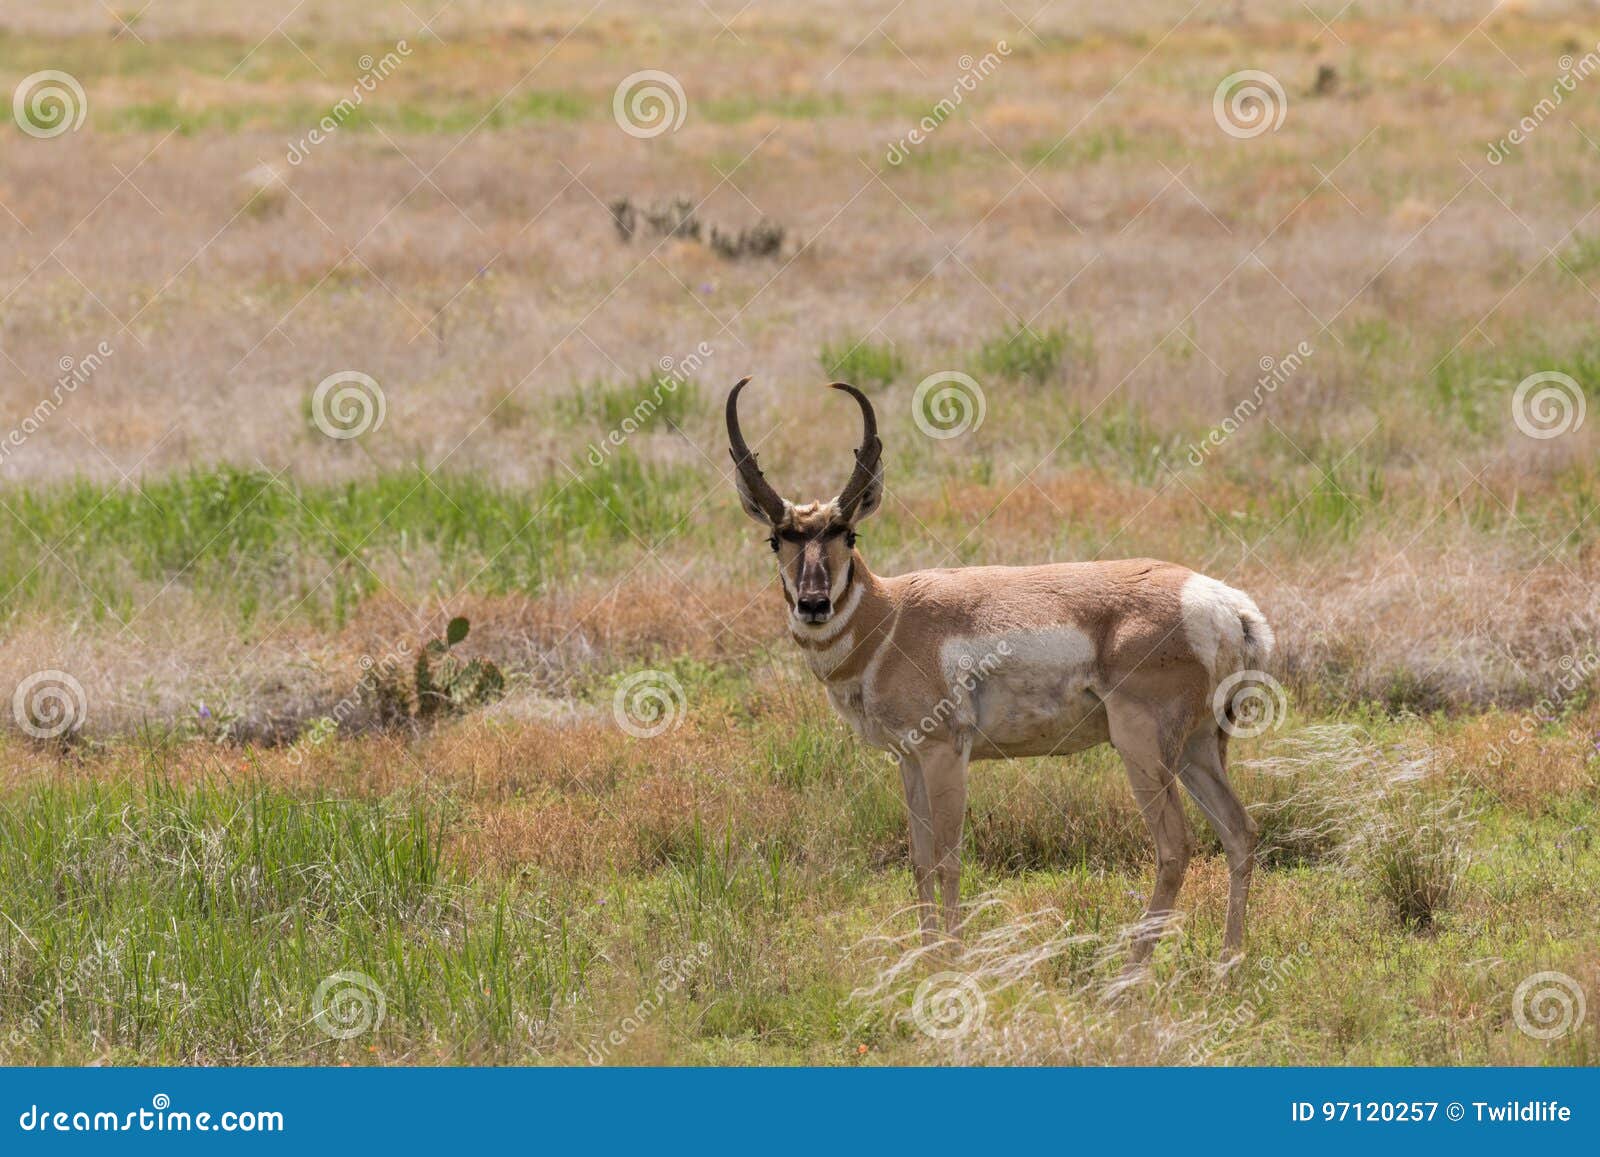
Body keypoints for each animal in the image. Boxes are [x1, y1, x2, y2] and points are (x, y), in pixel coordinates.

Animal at [726, 378, 1275, 963]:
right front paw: (925, 960)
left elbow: (947, 859)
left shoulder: (944, 753)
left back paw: (1131, 973)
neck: (890, 617)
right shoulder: (908, 759)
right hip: (1198, 748)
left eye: (847, 534)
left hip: (1143, 748)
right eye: (776, 539)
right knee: (1240, 831)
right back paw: (1229, 963)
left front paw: (953, 960)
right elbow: (919, 860)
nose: (814, 605)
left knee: (1175, 846)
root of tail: (1225, 603)